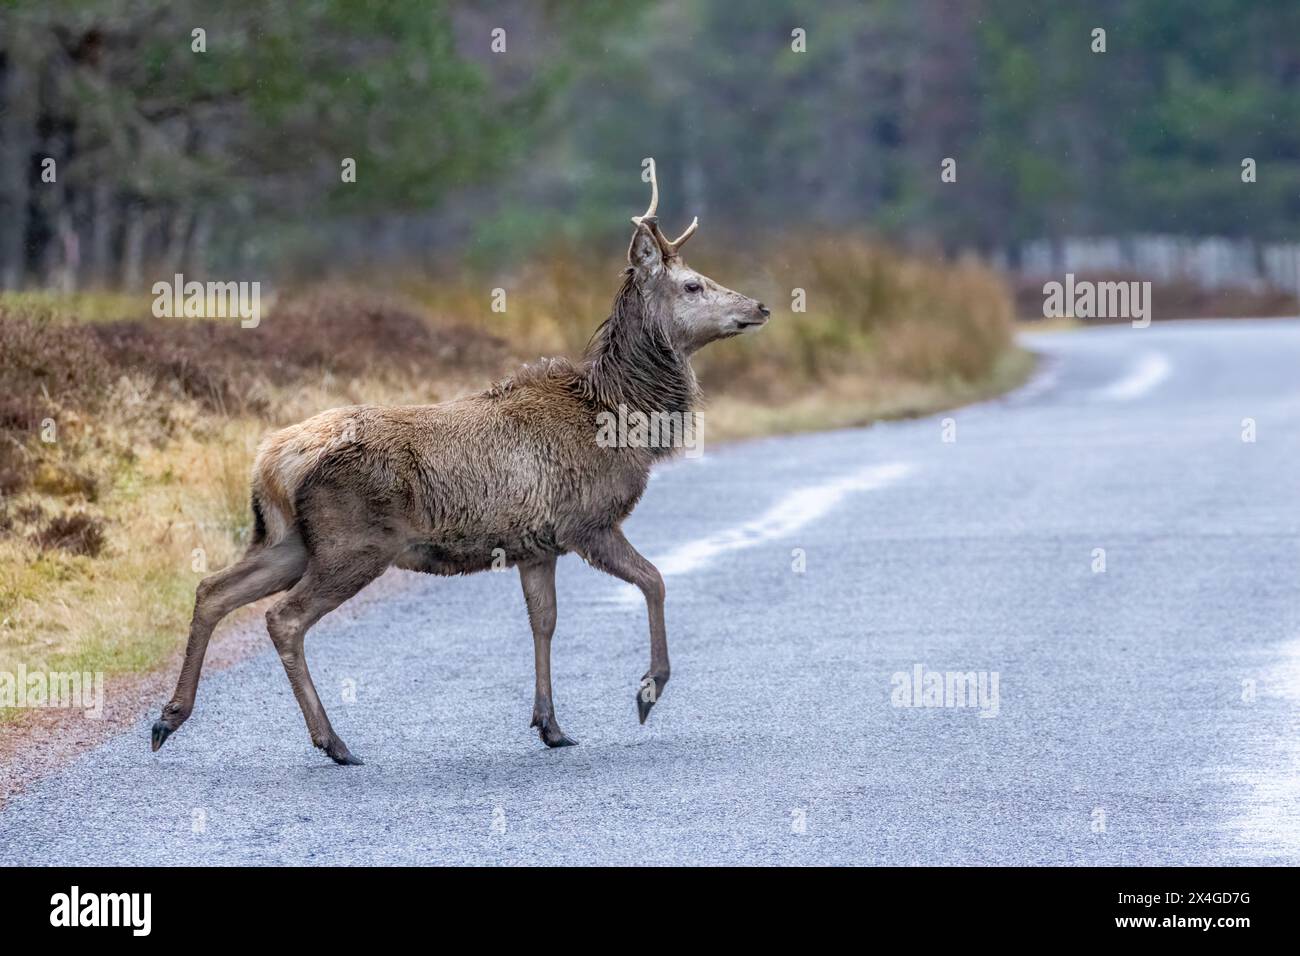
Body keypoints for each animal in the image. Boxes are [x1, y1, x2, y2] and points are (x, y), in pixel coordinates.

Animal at [151, 164, 770, 765]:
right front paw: (647, 690)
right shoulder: (587, 522)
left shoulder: (537, 545)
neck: (620, 416)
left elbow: (544, 621)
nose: (759, 306)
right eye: (692, 284)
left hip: (286, 539)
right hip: (354, 543)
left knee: (212, 589)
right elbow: (654, 580)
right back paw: (333, 742)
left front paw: (550, 726)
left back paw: (168, 718)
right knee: (283, 618)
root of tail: (271, 461)